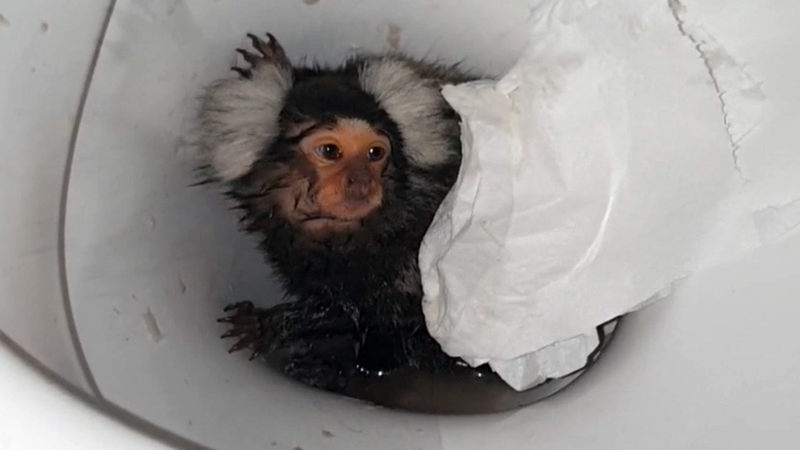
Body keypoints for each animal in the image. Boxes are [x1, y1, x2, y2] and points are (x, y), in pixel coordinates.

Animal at [194, 32, 482, 391]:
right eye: (330, 151)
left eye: (375, 153)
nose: (360, 181)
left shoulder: (415, 247)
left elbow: (354, 313)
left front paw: (269, 325)